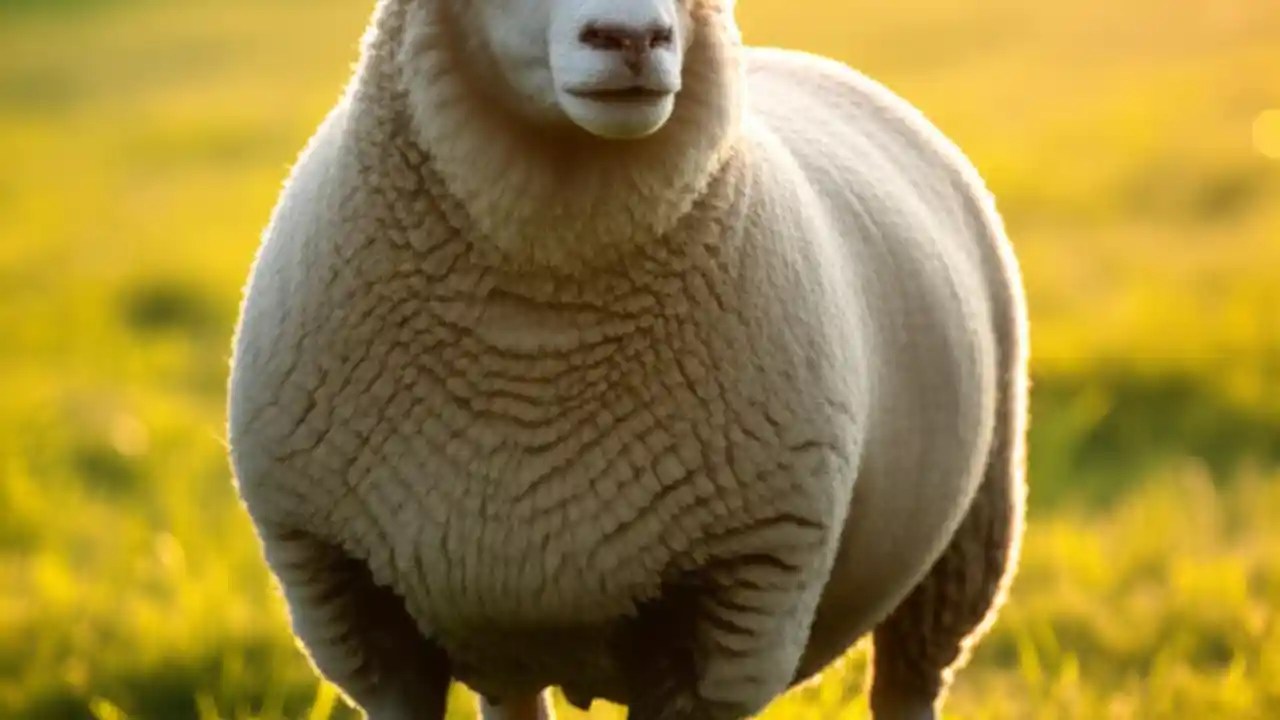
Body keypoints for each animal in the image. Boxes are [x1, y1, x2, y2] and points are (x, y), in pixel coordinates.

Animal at [226, 0, 1029, 718]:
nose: (634, 38)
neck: (533, 333)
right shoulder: (350, 597)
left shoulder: (730, 597)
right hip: (494, 614)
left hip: (964, 546)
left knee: (909, 679)